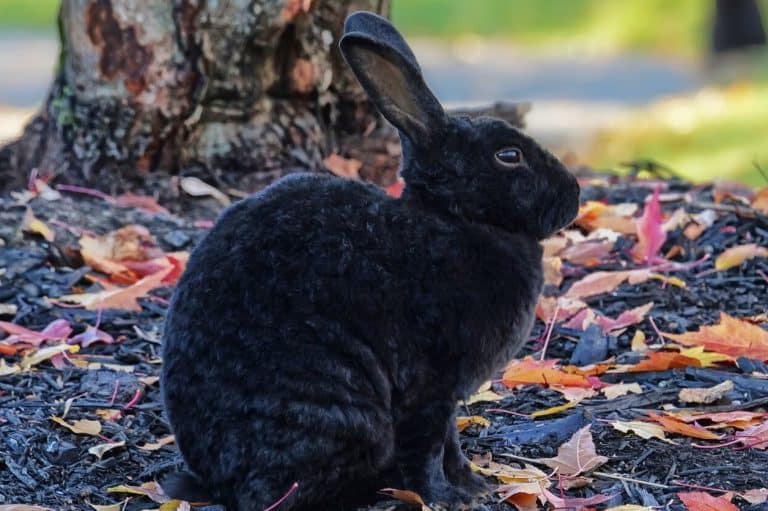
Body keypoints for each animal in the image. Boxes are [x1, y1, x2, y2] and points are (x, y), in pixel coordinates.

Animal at [160, 10, 580, 511]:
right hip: (344, 414)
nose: (575, 195)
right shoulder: (430, 385)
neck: (454, 217)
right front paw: (450, 497)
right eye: (509, 156)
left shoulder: (446, 395)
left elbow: (451, 444)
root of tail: (215, 481)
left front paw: (475, 485)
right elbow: (431, 447)